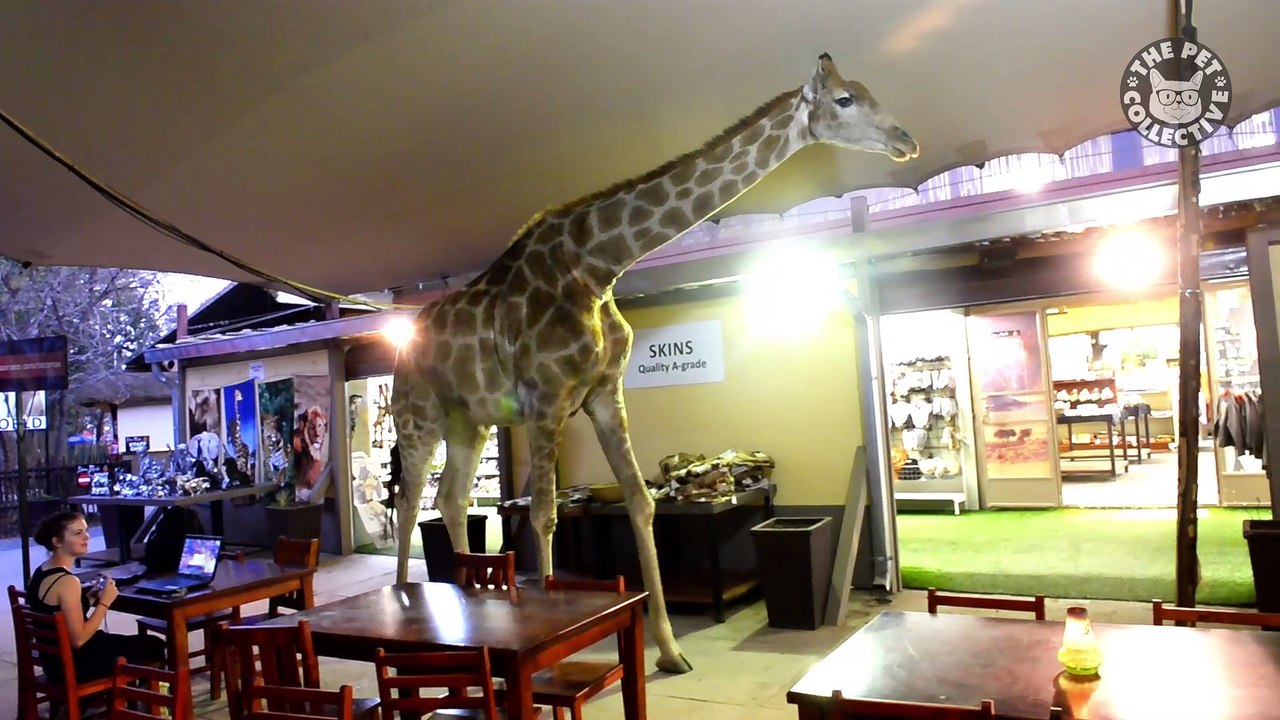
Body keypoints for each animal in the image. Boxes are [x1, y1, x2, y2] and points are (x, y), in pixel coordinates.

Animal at [390, 52, 917, 675]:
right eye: (844, 100)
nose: (906, 139)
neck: (597, 266)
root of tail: (402, 343)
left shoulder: (602, 394)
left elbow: (641, 504)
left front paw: (669, 651)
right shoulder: (547, 399)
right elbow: (543, 514)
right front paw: (552, 649)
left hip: (468, 422)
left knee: (449, 500)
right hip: (417, 418)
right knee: (409, 503)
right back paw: (402, 613)